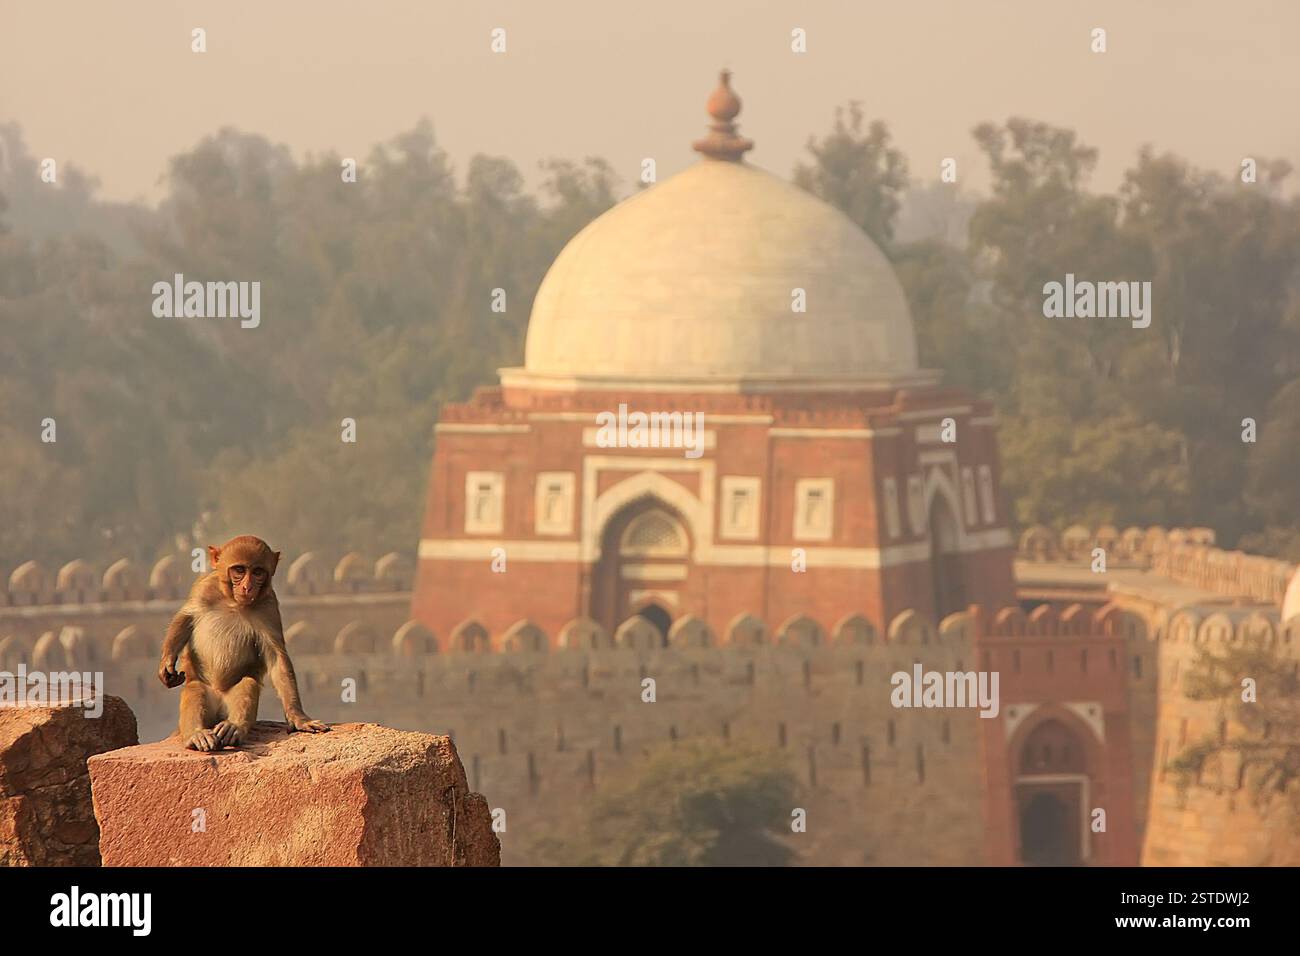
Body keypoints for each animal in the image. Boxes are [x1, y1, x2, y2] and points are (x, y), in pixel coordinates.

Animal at [157, 535, 328, 751]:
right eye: (239, 570)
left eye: (257, 572)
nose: (247, 587)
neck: (233, 601)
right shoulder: (204, 587)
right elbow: (186, 618)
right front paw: (167, 663)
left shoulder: (268, 606)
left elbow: (276, 658)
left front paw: (298, 718)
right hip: (204, 695)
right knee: (194, 689)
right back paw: (196, 735)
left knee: (248, 684)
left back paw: (233, 728)